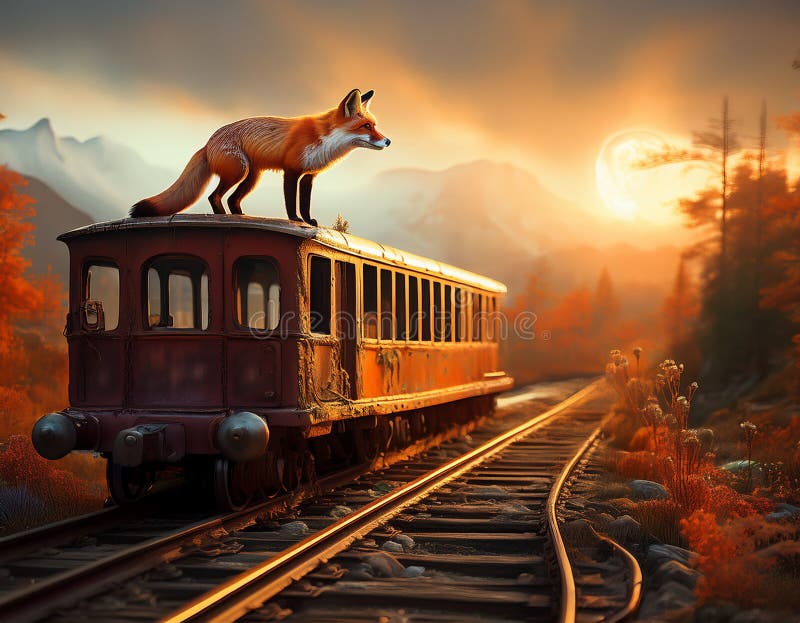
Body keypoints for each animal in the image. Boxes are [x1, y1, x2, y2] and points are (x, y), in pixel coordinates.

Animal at [130, 88, 390, 226]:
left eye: (375, 125)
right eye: (367, 126)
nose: (388, 141)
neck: (325, 140)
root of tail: (208, 142)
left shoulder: (309, 176)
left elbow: (305, 203)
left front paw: (308, 221)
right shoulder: (291, 171)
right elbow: (291, 202)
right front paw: (295, 219)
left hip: (252, 177)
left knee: (232, 199)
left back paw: (240, 215)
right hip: (239, 171)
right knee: (215, 196)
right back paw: (223, 217)